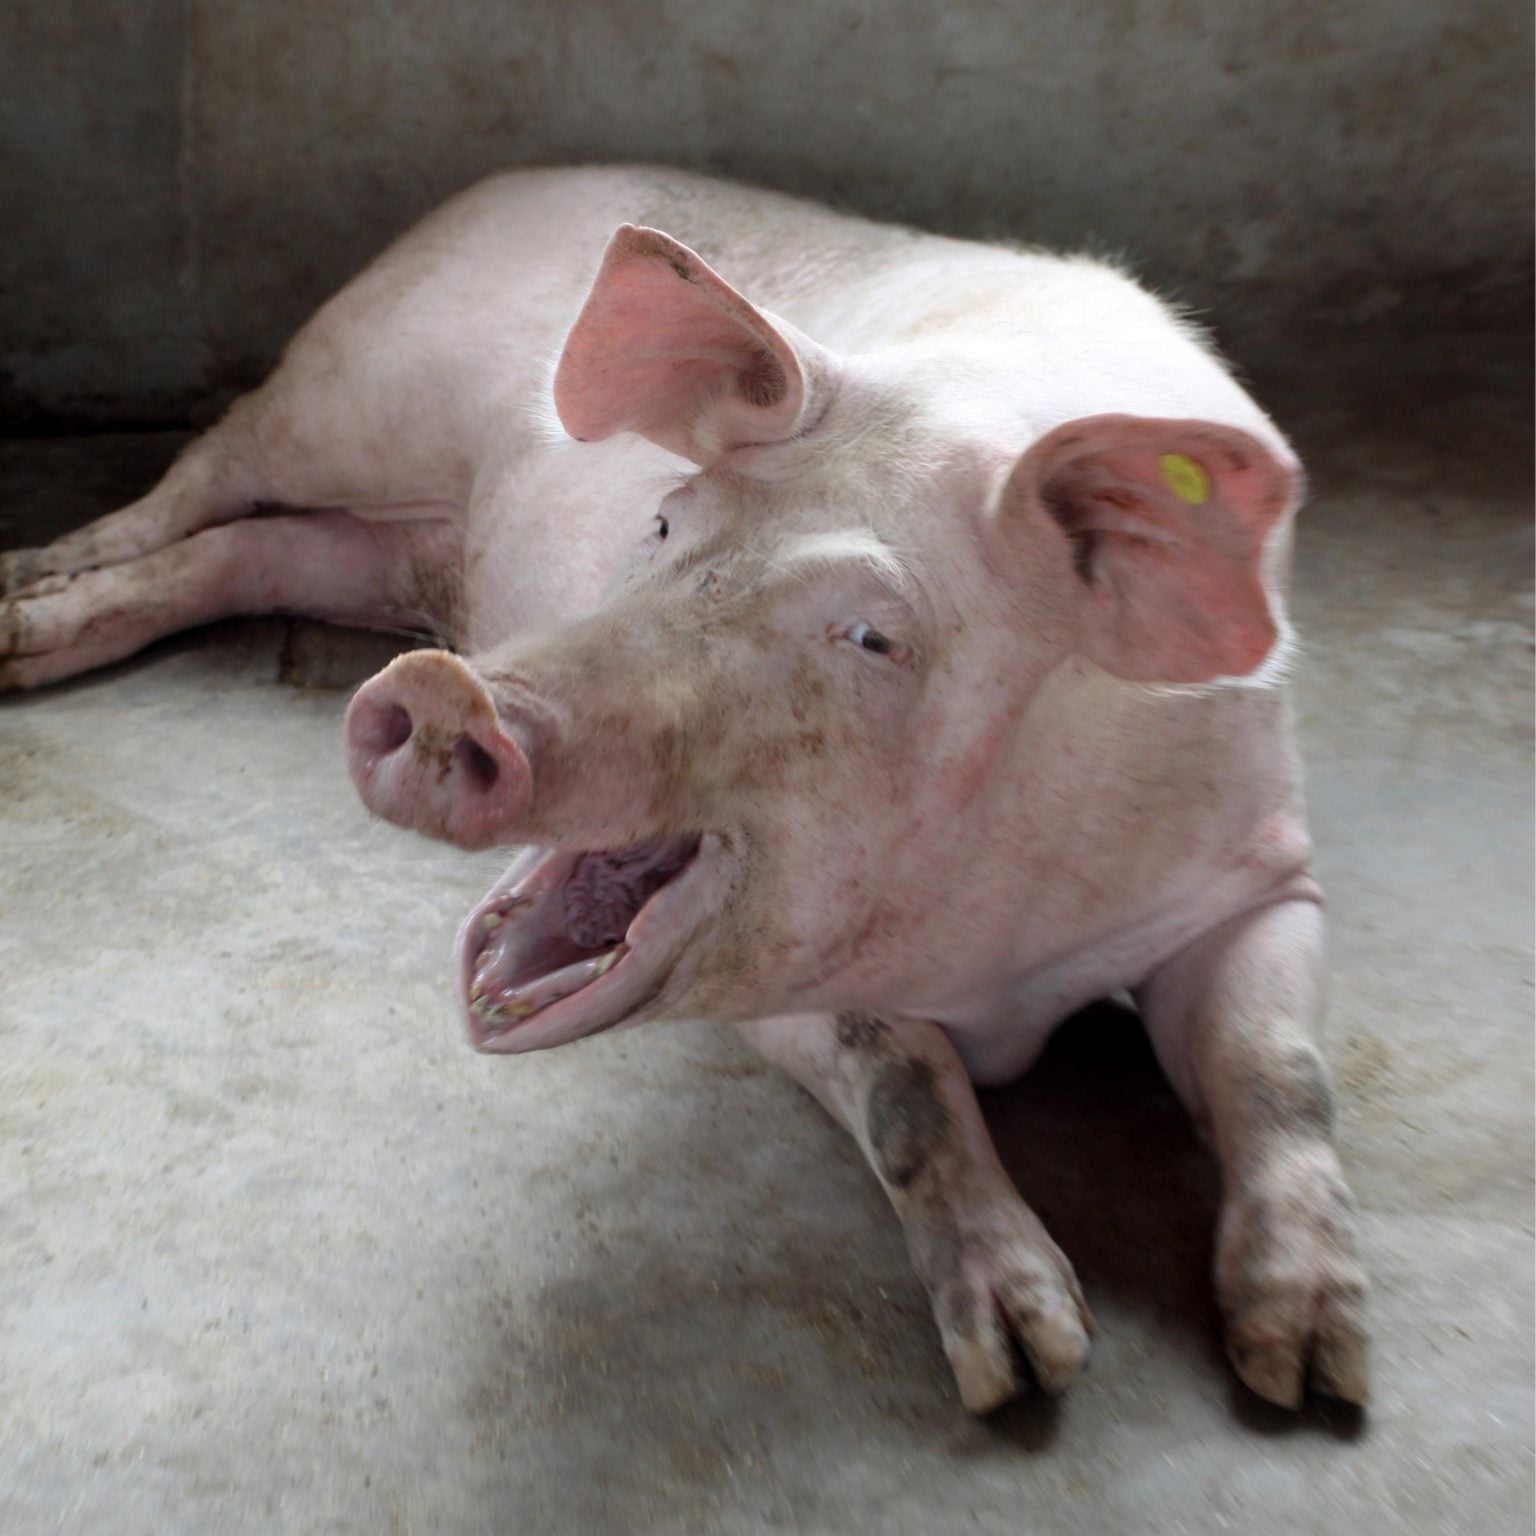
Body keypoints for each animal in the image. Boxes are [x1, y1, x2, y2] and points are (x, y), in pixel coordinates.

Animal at [0, 165, 1368, 1415]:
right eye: (664, 523)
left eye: (874, 636)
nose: (447, 691)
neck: (1002, 961)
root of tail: (492, 185)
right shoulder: (783, 995)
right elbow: (905, 1079)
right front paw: (1026, 1364)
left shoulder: (1259, 867)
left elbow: (1279, 1068)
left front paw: (1310, 1372)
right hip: (347, 388)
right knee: (211, 467)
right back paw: (32, 586)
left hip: (385, 543)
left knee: (255, 549)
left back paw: (31, 628)